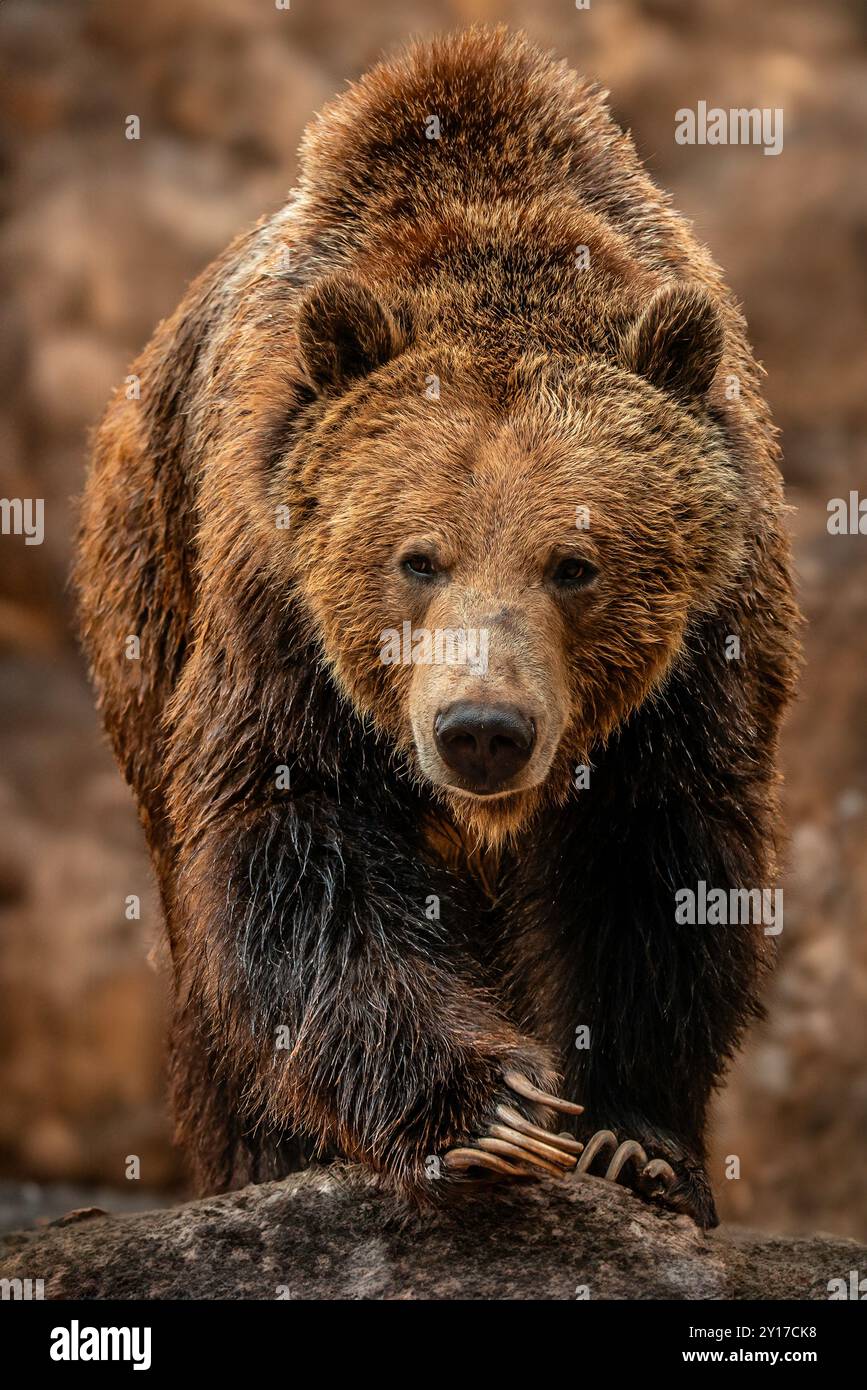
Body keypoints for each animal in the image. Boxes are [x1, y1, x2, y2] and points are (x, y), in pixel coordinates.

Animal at [74, 26, 800, 1228]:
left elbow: (663, 864)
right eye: (417, 556)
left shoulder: (702, 653)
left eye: (575, 564)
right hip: (146, 602)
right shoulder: (276, 608)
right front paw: (486, 1111)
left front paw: (632, 1143)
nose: (482, 729)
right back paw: (264, 1149)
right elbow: (297, 845)